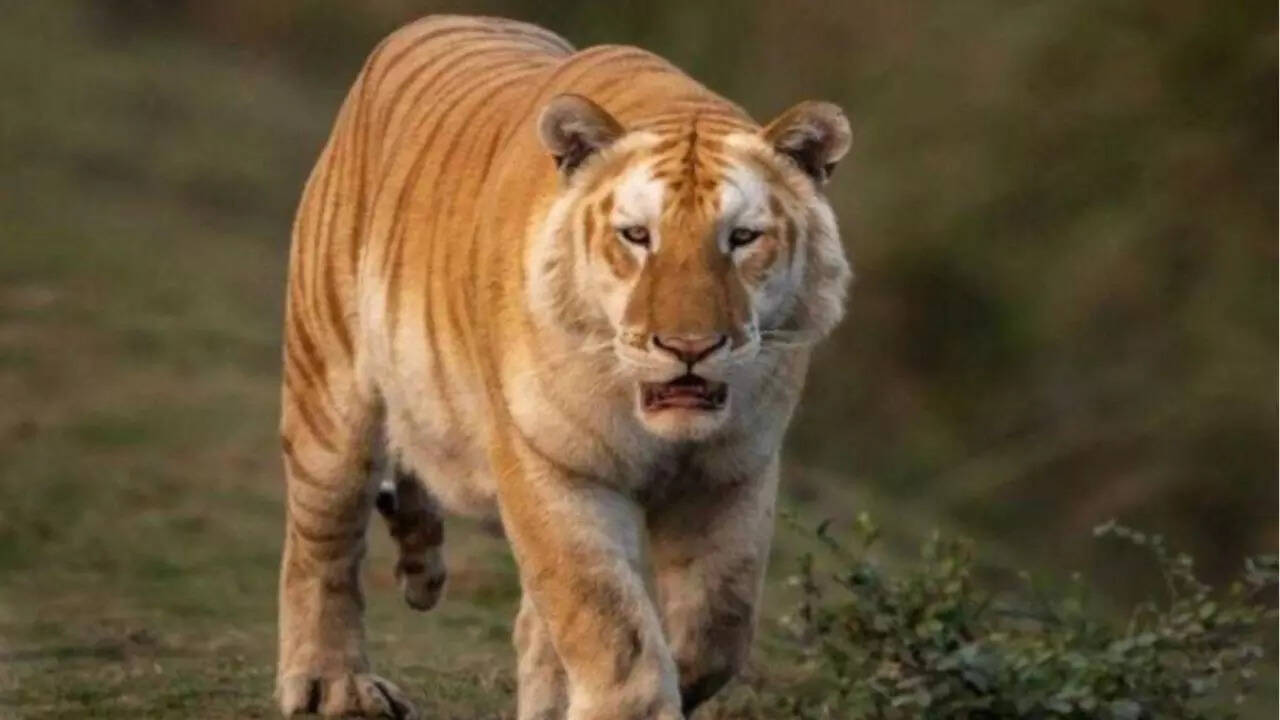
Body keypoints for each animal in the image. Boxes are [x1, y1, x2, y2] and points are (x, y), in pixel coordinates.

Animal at [276, 14, 852, 720]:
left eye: (742, 238)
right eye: (637, 236)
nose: (688, 345)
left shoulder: (733, 473)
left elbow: (717, 628)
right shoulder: (551, 464)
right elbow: (612, 627)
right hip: (329, 392)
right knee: (322, 543)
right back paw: (335, 685)